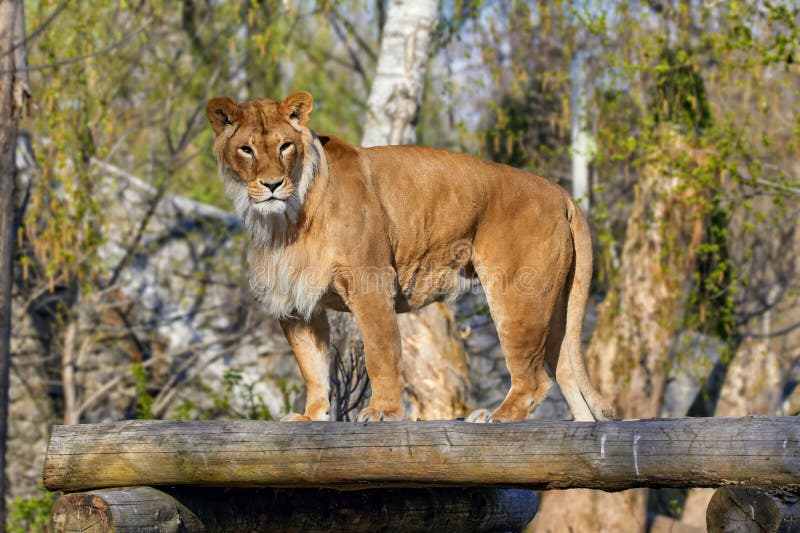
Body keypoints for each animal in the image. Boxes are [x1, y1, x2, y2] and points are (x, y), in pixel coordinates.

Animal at [205, 91, 613, 423]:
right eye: (247, 150)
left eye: (285, 146)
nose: (273, 184)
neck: (286, 220)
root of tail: (560, 192)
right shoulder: (294, 302)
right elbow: (312, 366)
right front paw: (311, 416)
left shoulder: (370, 281)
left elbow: (380, 351)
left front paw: (382, 412)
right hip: (555, 301)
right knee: (564, 368)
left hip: (518, 293)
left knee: (535, 378)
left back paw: (494, 417)